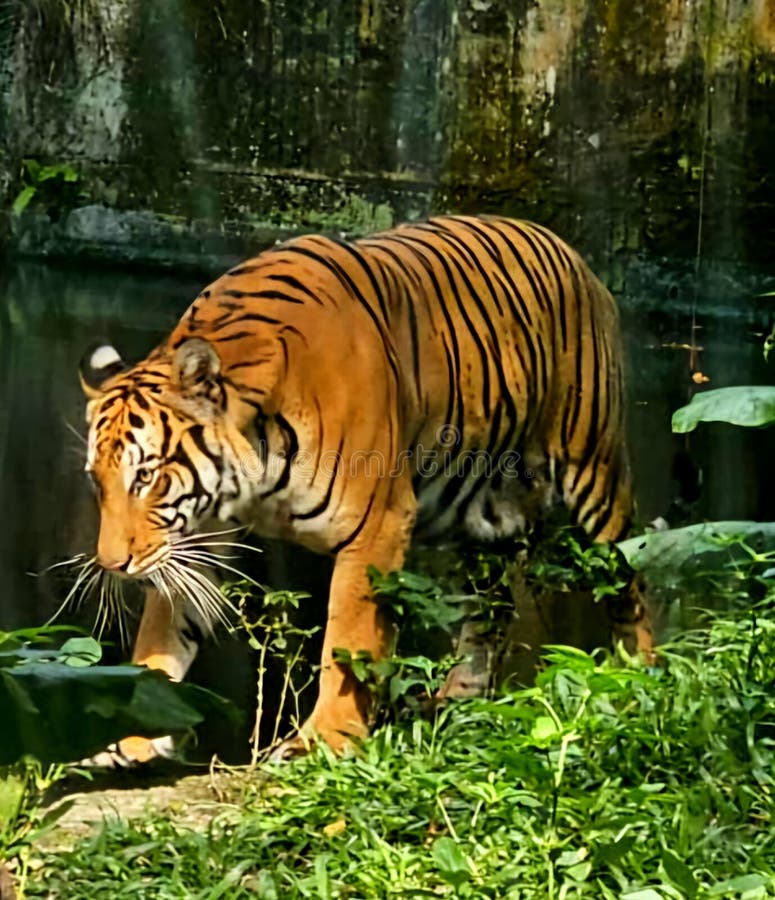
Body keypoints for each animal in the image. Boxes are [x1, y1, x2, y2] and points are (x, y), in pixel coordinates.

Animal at [78, 214, 653, 764]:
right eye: (96, 480)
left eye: (146, 476)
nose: (112, 564)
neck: (252, 468)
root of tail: (566, 247)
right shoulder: (190, 537)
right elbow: (164, 630)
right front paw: (133, 737)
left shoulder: (375, 524)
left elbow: (348, 643)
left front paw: (323, 742)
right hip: (467, 512)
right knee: (492, 604)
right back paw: (459, 697)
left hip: (593, 484)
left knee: (630, 583)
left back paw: (637, 678)